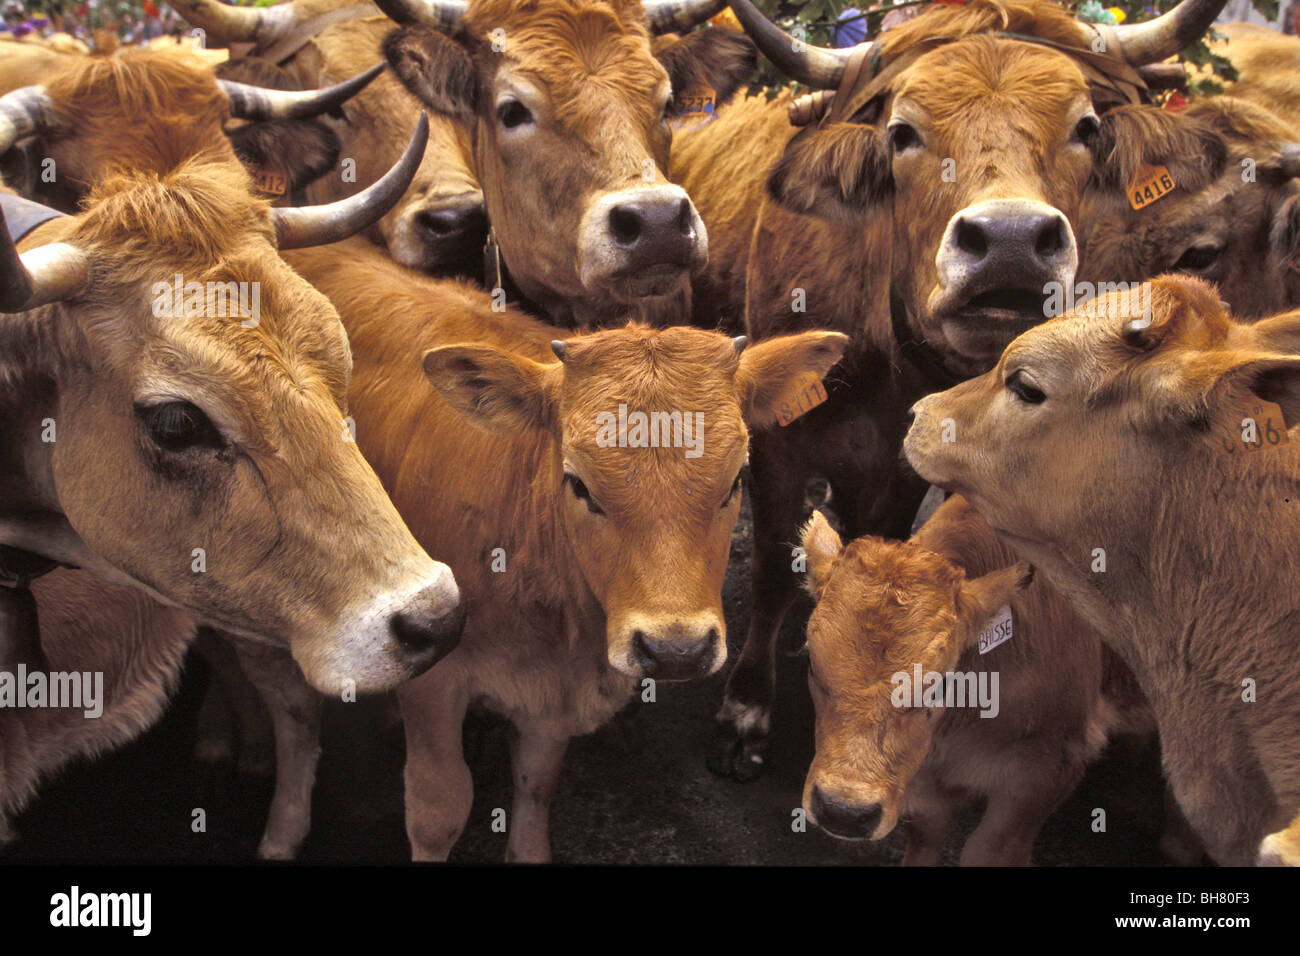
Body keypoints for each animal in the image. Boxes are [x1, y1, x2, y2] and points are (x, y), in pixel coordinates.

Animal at [279, 235, 847, 860]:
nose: (676, 650)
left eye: (736, 480)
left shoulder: (552, 702)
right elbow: (437, 808)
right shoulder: (431, 678)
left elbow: (536, 787)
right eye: (578, 483)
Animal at [671, 0, 1231, 779]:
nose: (1011, 241)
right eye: (902, 132)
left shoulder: (907, 454)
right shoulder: (779, 443)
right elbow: (776, 568)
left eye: (1087, 128)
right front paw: (745, 712)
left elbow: (876, 538)